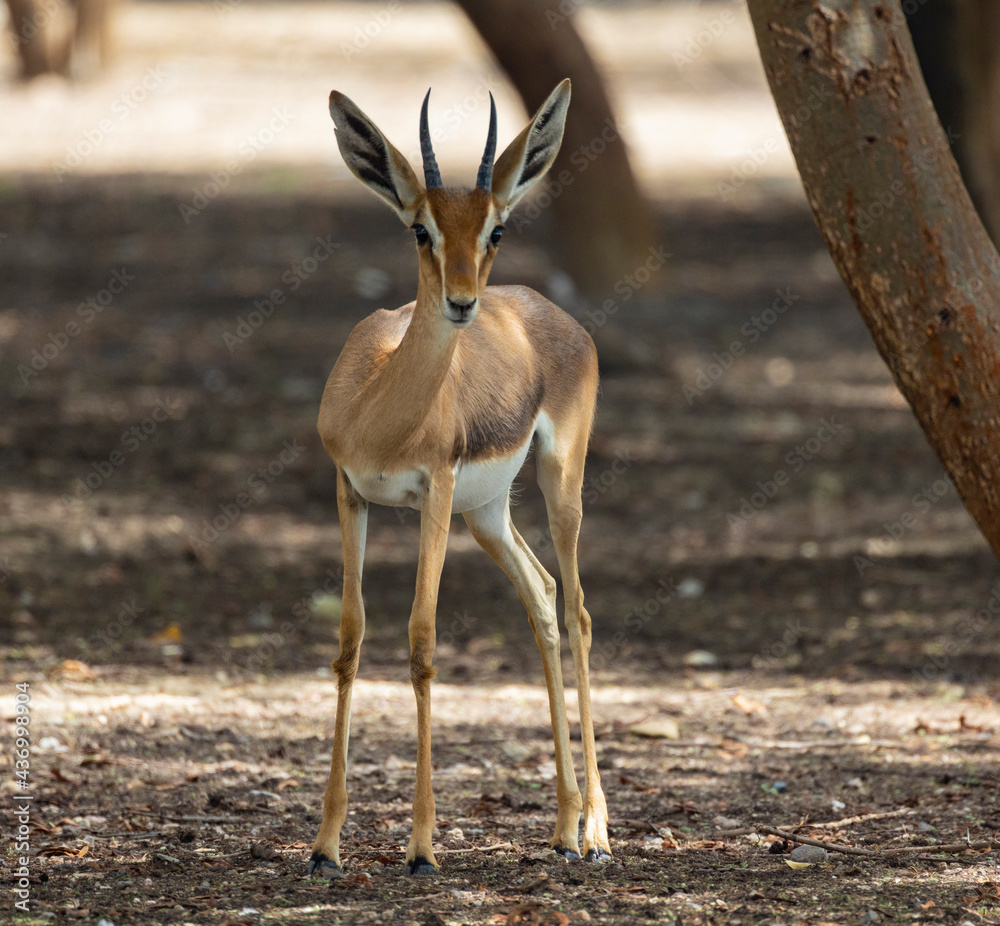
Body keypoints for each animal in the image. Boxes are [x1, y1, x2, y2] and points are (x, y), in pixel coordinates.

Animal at [310, 79, 611, 877]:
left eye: (495, 231)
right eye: (421, 229)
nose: (462, 302)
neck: (380, 402)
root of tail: (554, 315)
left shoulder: (434, 493)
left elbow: (421, 643)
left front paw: (421, 847)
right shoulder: (350, 493)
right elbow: (350, 641)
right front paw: (324, 845)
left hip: (557, 483)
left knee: (577, 610)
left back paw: (596, 831)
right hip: (489, 514)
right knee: (541, 596)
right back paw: (563, 825)